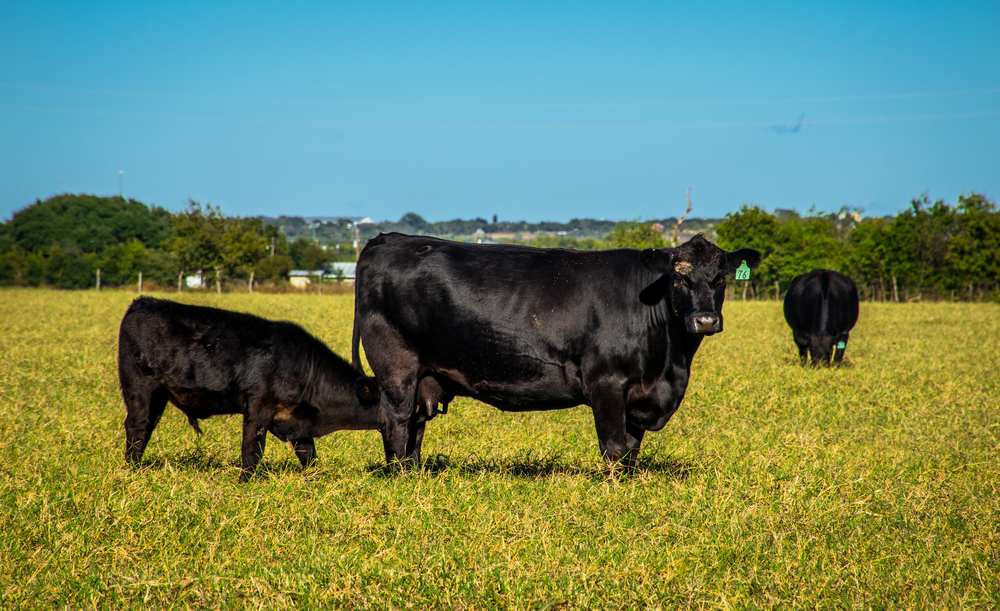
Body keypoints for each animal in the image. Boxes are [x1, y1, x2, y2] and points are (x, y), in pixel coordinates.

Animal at [118, 297, 379, 479]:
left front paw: (314, 477)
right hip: (139, 387)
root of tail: (143, 302)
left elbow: (308, 453)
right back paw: (132, 469)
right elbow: (253, 448)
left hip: (159, 396)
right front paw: (245, 481)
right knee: (136, 426)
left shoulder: (297, 419)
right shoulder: (259, 405)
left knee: (147, 427)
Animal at [351, 232, 762, 469]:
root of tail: (389, 237)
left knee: (416, 426)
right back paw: (399, 477)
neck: (670, 364)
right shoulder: (606, 382)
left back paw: (415, 473)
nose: (705, 320)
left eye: (721, 277)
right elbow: (615, 448)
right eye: (679, 275)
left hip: (426, 374)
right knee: (395, 422)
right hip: (396, 366)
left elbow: (632, 451)